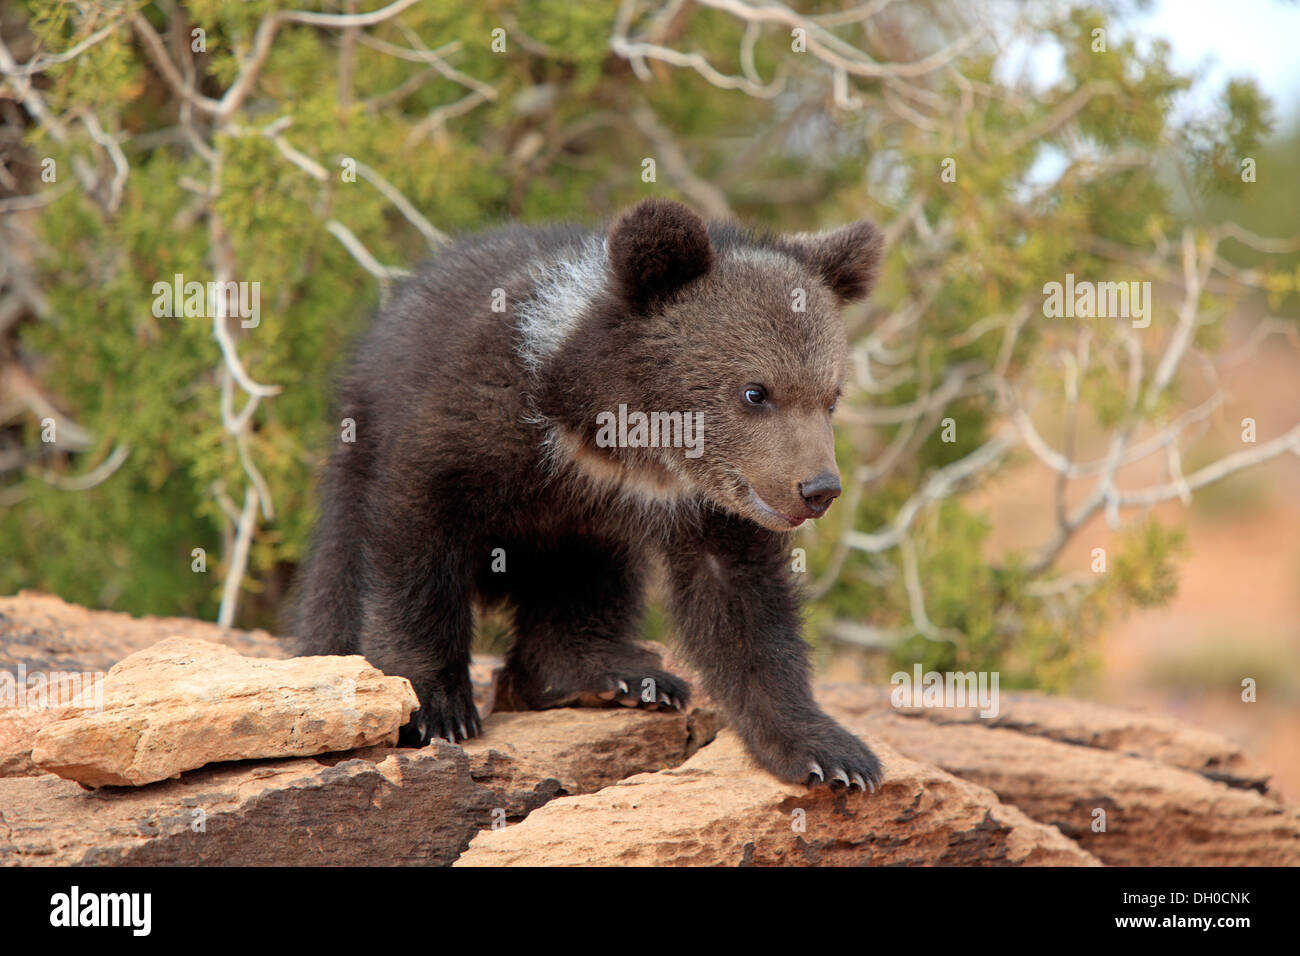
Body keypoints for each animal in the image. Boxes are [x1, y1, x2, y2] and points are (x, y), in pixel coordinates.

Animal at [290, 198, 885, 791]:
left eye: (830, 397)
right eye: (755, 392)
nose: (819, 488)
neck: (616, 439)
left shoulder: (707, 503)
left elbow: (742, 601)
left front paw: (831, 753)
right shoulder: (476, 417)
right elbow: (420, 532)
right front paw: (435, 707)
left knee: (587, 582)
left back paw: (615, 676)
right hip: (360, 431)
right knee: (339, 565)